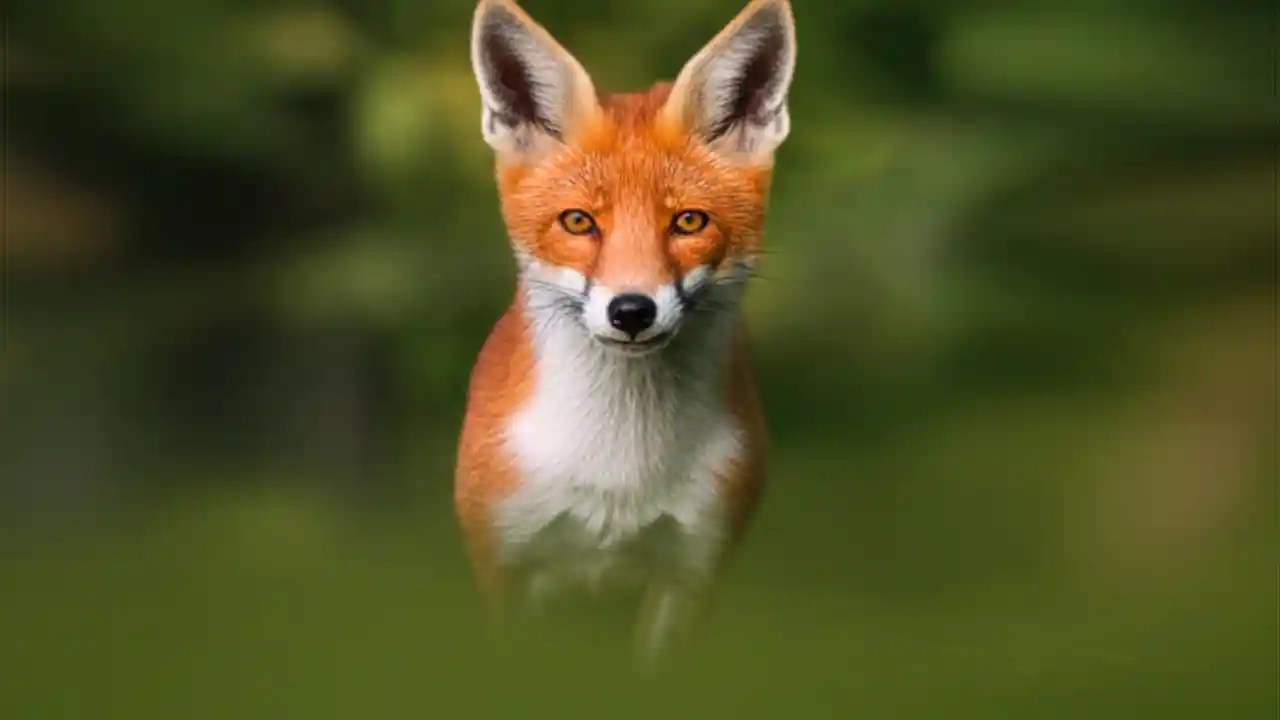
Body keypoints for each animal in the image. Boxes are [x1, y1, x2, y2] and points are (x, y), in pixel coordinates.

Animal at [454, 0, 796, 656]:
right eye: (578, 222)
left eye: (688, 222)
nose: (632, 311)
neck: (620, 470)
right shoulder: (505, 564)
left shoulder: (692, 571)